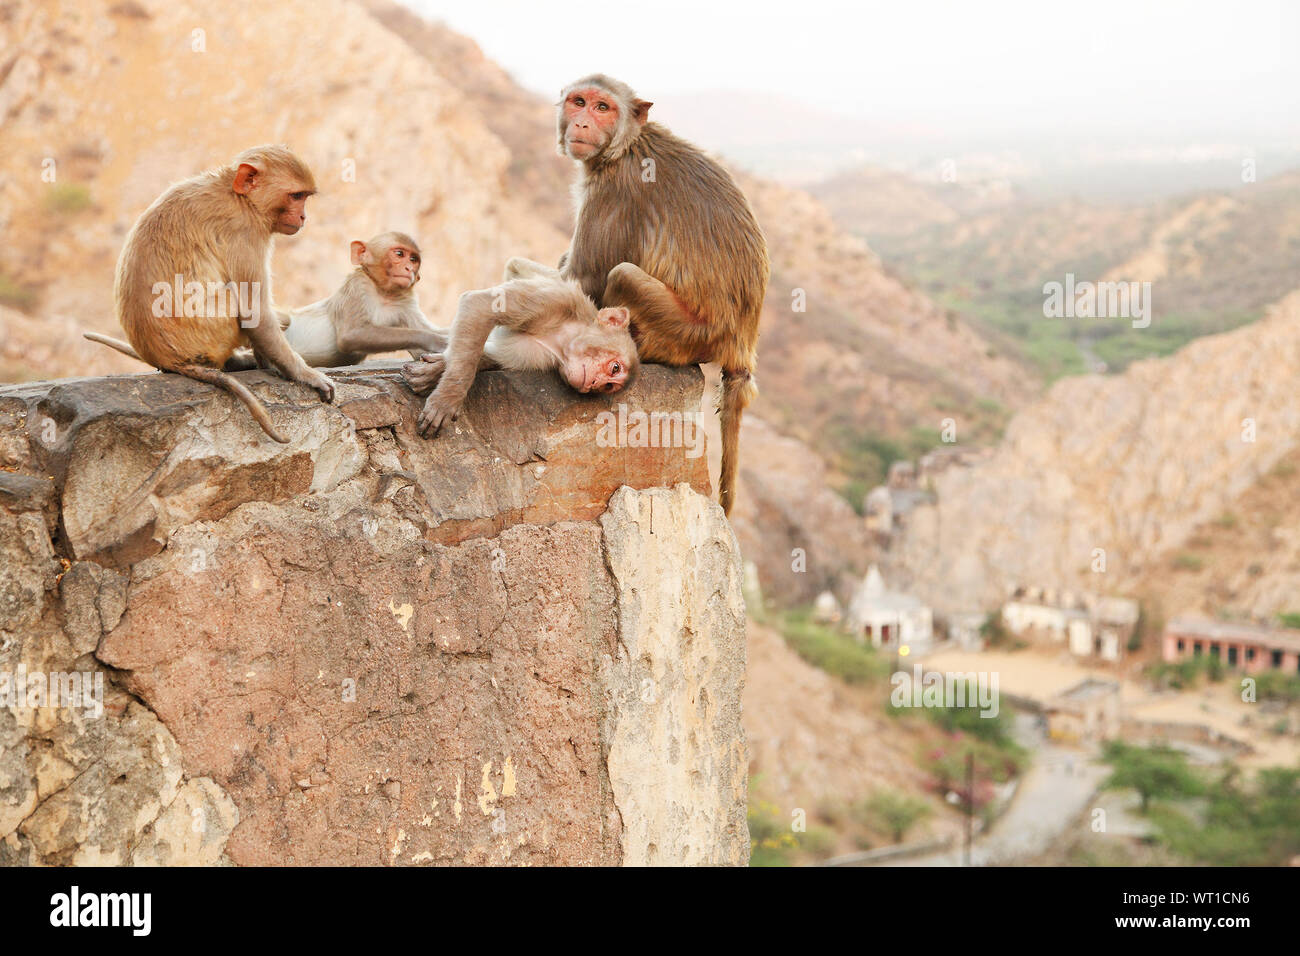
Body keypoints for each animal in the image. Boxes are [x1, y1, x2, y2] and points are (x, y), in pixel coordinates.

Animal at [111, 144, 334, 443]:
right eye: (296, 196)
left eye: (305, 197)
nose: (303, 216)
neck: (239, 197)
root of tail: (167, 360)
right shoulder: (246, 233)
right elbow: (255, 311)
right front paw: (306, 375)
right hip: (207, 333)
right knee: (234, 298)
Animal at [401, 275, 636, 436]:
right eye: (615, 368)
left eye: (608, 386)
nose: (594, 383)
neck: (564, 337)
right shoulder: (554, 300)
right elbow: (480, 305)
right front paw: (447, 398)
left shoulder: (542, 355)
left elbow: (499, 355)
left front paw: (436, 371)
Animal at [498, 74, 769, 515]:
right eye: (579, 102)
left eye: (602, 107)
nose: (583, 122)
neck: (625, 146)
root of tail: (741, 343)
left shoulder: (613, 191)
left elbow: (583, 280)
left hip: (686, 333)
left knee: (622, 274)